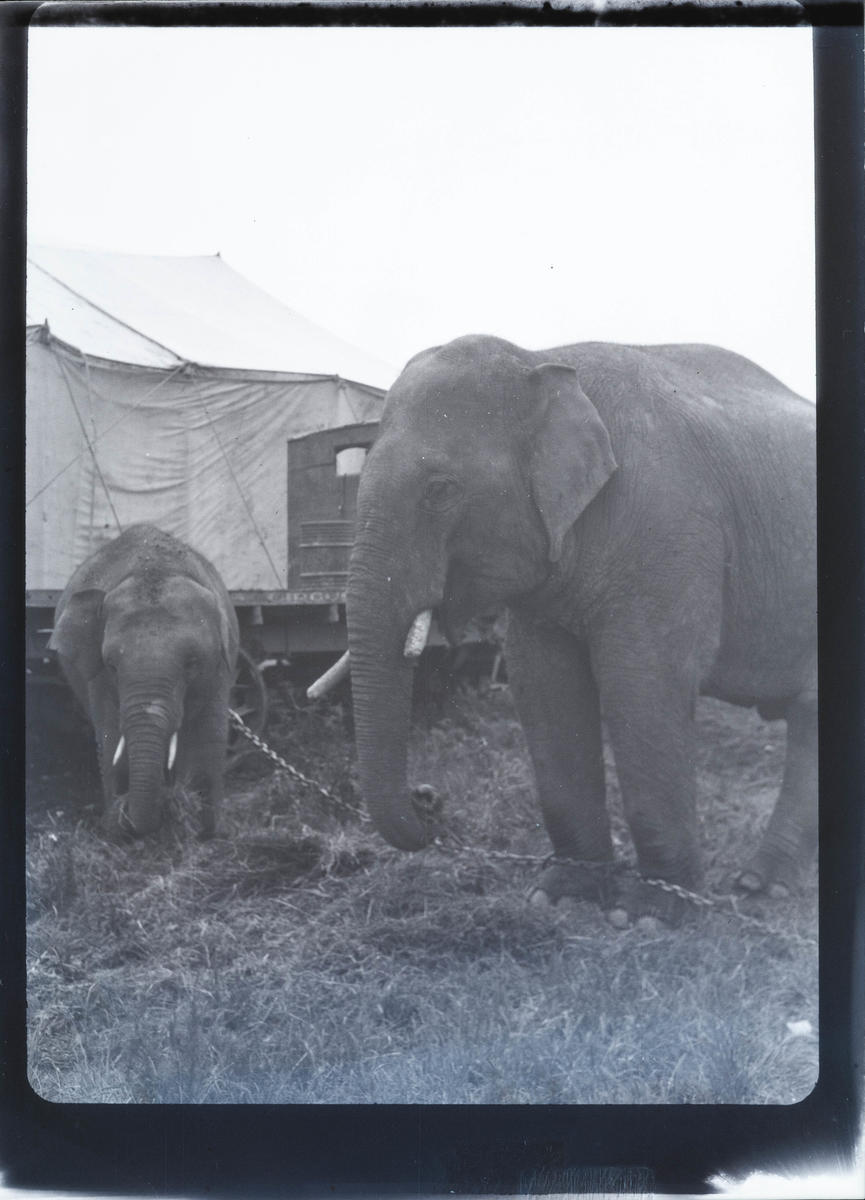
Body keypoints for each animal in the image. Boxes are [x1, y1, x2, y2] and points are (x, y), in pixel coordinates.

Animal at [48, 524, 239, 839]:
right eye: (112, 665)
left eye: (192, 663)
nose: (130, 820)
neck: (156, 569)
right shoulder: (98, 677)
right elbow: (111, 739)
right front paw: (117, 834)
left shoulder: (218, 667)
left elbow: (207, 737)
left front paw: (207, 833)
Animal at [338, 335, 816, 920]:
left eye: (440, 489)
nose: (429, 798)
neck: (542, 358)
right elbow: (546, 687)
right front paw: (559, 895)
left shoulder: (670, 531)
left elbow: (644, 686)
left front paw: (648, 915)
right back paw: (758, 886)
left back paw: (761, 887)